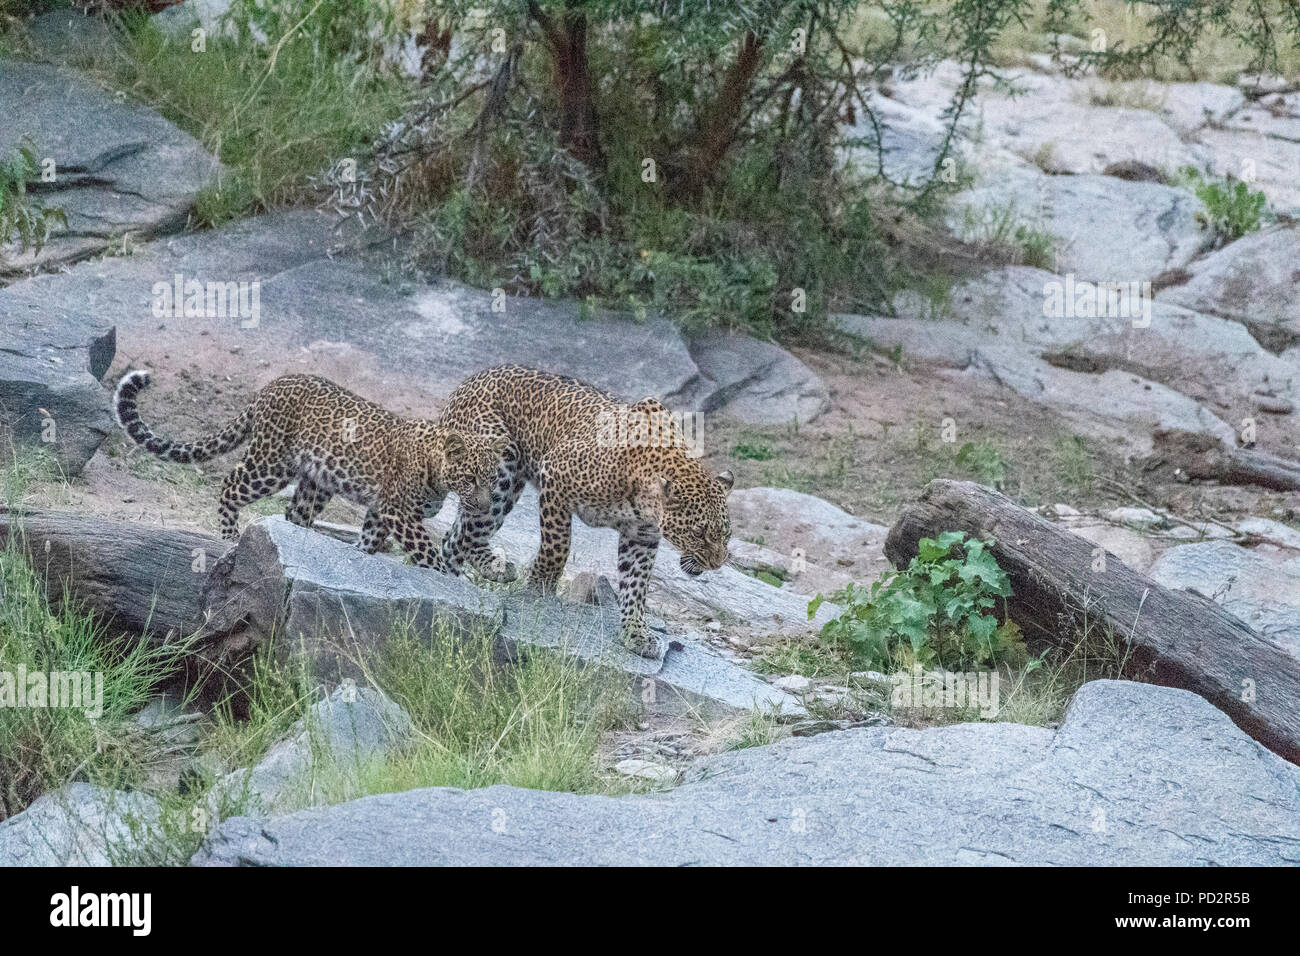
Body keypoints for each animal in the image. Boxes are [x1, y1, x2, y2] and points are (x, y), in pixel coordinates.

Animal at [113, 370, 502, 569]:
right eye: (470, 479)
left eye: (491, 480)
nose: (485, 506)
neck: (438, 472)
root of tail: (271, 385)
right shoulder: (399, 512)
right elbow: (428, 552)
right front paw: (447, 578)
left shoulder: (380, 511)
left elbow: (369, 540)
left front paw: (359, 554)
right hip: (271, 463)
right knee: (229, 486)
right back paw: (229, 538)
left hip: (316, 481)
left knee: (292, 513)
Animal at [436, 365, 734, 657]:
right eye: (698, 533)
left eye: (727, 534)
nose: (717, 563)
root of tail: (467, 382)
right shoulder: (554, 475)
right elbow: (557, 547)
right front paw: (538, 592)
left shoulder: (642, 536)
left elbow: (636, 583)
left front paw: (636, 634)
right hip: (499, 469)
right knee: (469, 535)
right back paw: (492, 569)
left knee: (453, 539)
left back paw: (447, 582)